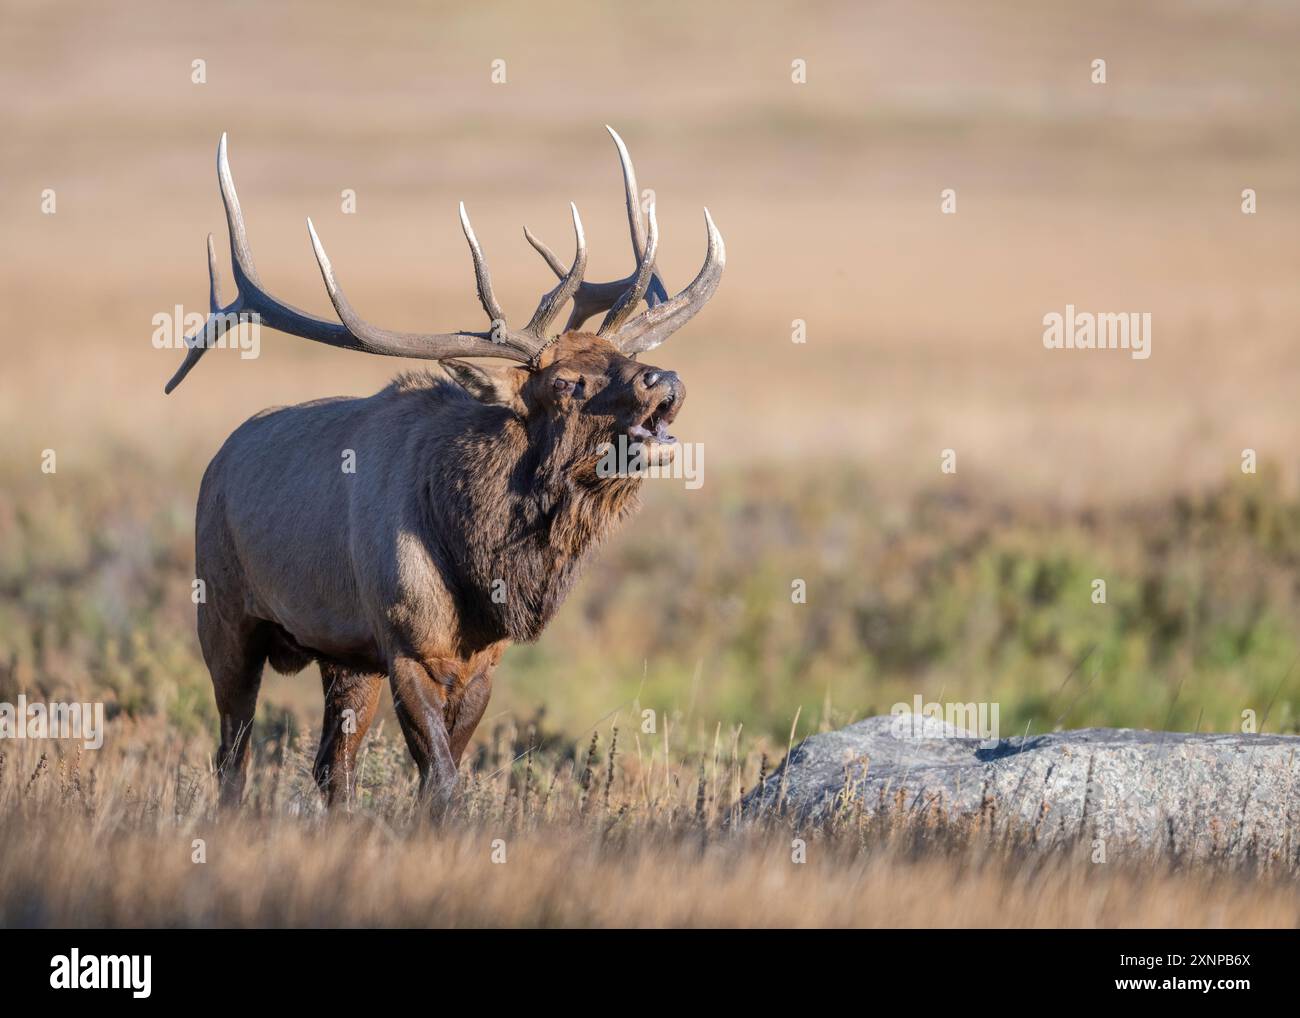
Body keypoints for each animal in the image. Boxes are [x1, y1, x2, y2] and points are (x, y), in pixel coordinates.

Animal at [165, 128, 723, 812]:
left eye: (617, 354)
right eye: (565, 382)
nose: (664, 380)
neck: (481, 563)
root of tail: (217, 463)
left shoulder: (479, 659)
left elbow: (442, 772)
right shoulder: (406, 645)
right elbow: (442, 781)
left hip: (344, 655)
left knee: (331, 768)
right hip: (224, 618)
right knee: (233, 757)